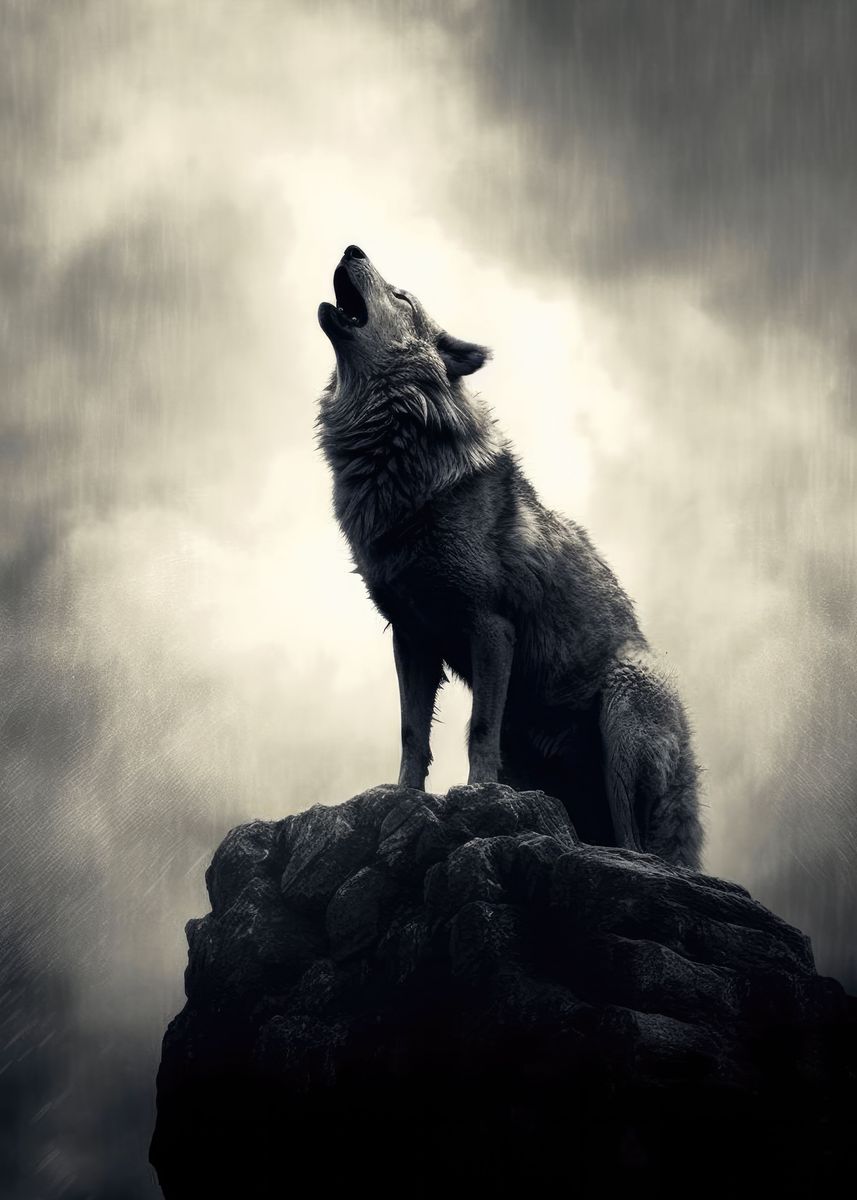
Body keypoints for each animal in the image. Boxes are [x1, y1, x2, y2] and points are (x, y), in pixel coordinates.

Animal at [317, 245, 702, 867]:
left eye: (400, 295)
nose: (352, 247)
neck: (397, 457)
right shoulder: (410, 635)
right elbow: (412, 733)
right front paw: (399, 797)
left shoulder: (491, 625)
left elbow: (477, 728)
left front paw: (474, 794)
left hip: (623, 702)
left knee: (637, 842)